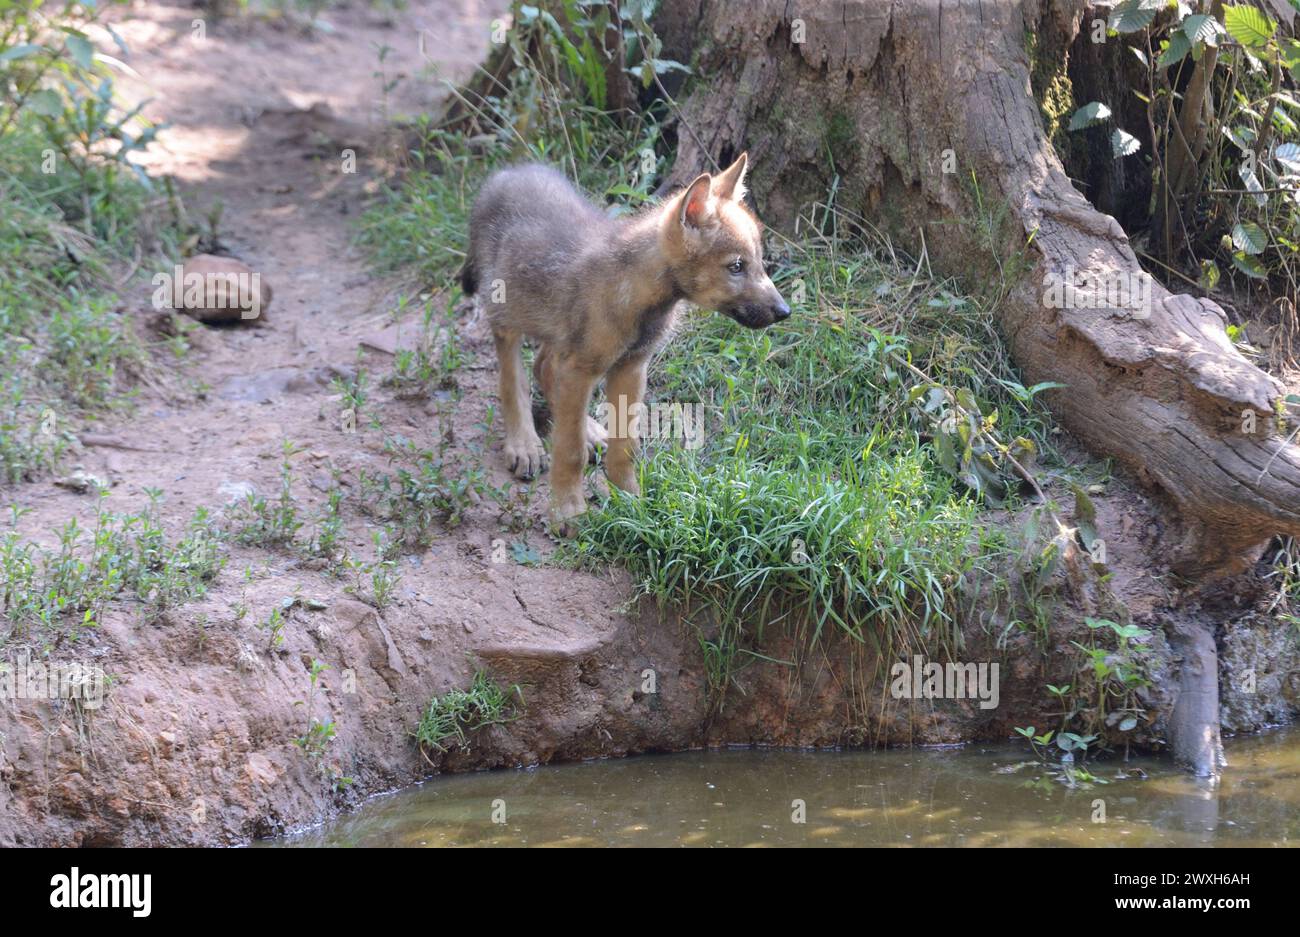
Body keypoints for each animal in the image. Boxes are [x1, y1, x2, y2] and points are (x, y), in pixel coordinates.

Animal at [460, 152, 789, 526]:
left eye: (759, 262)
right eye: (736, 266)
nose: (784, 311)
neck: (641, 296)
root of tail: (507, 172)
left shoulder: (631, 367)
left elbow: (625, 447)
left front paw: (631, 502)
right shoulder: (582, 367)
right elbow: (569, 450)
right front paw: (567, 512)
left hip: (558, 331)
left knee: (544, 367)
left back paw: (588, 430)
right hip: (508, 311)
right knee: (512, 379)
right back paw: (524, 444)